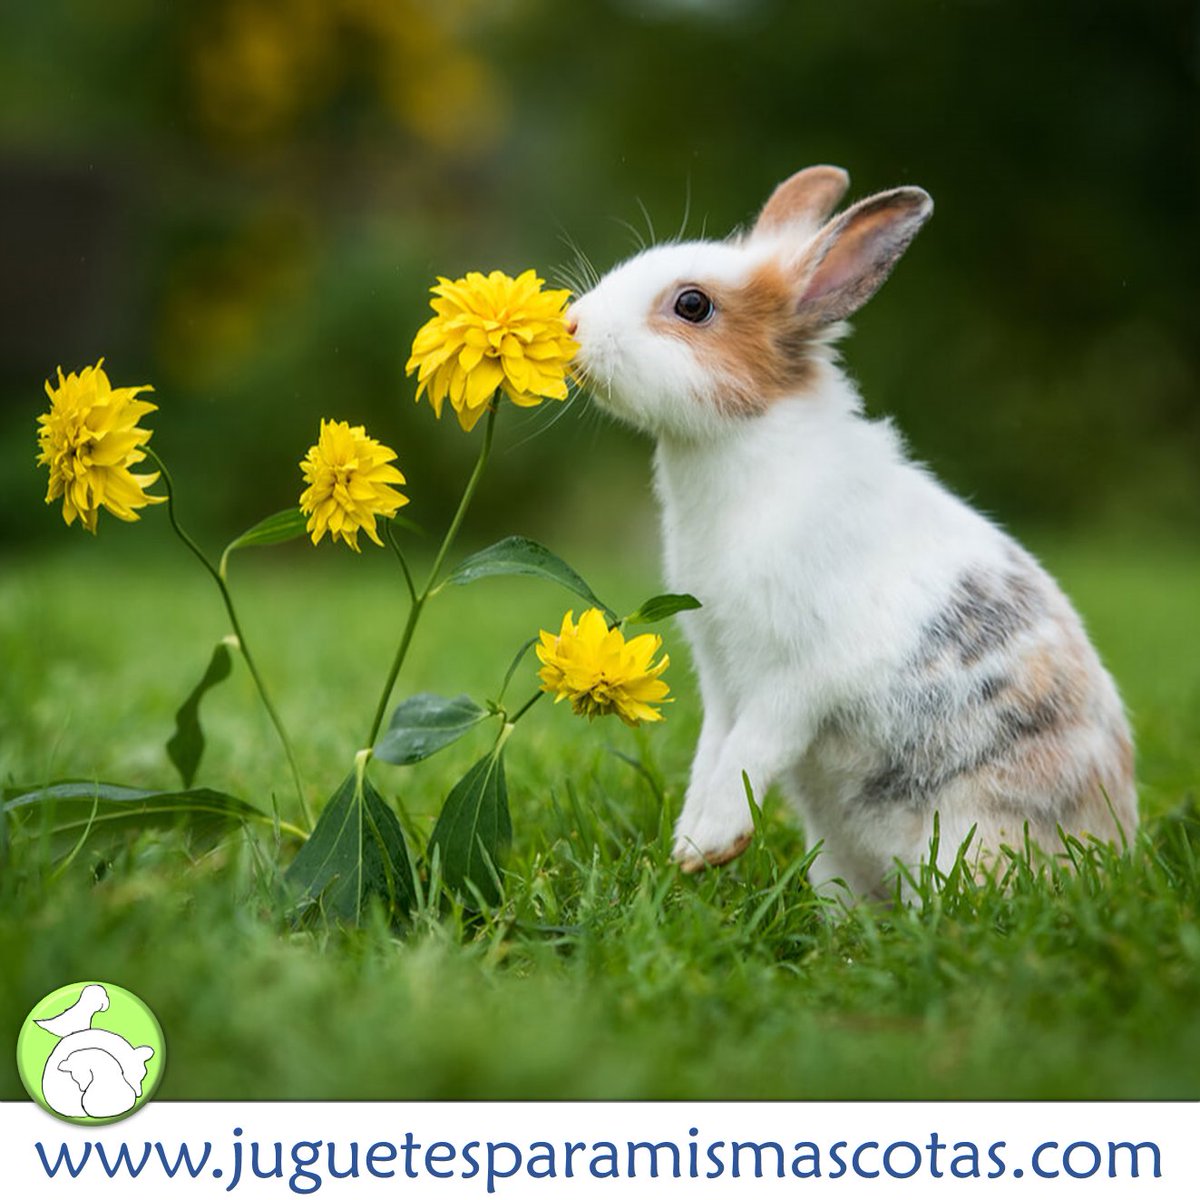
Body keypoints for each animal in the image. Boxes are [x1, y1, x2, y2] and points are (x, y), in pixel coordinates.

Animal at [568, 164, 1137, 896]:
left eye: (692, 305)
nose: (573, 324)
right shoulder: (721, 674)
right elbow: (713, 750)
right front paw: (691, 846)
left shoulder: (796, 676)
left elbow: (751, 748)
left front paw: (707, 844)